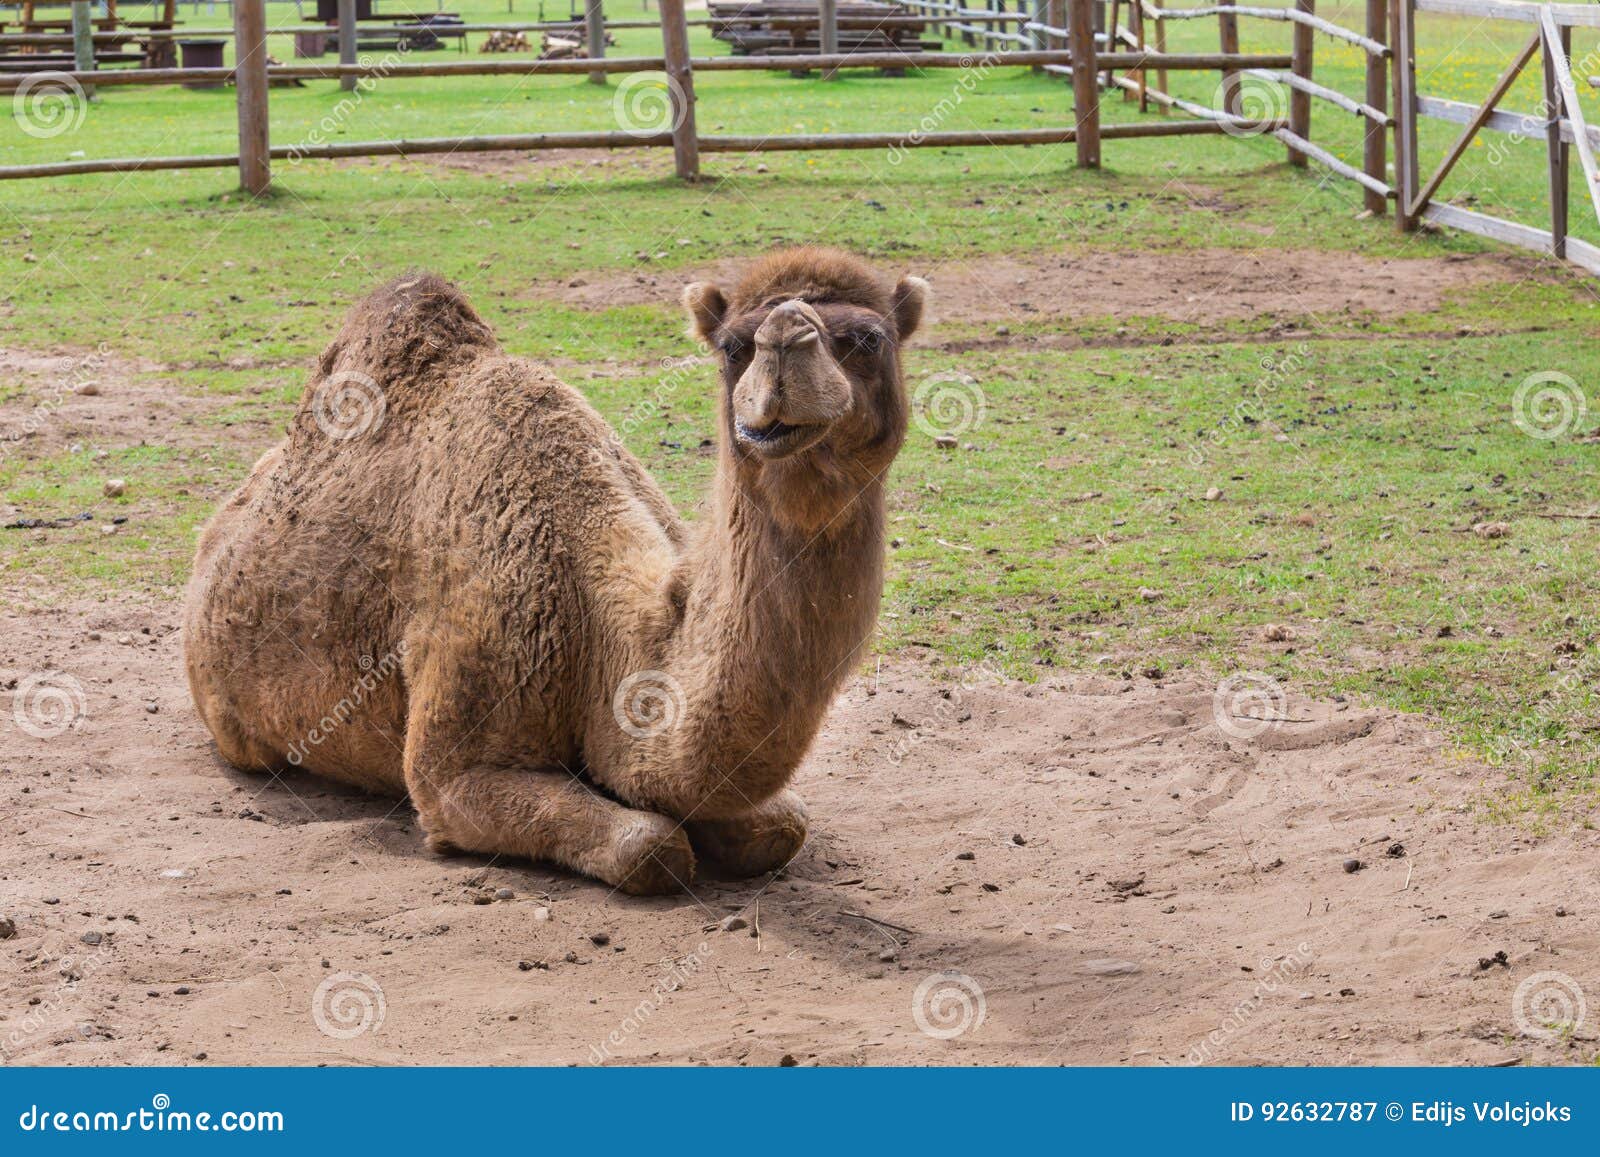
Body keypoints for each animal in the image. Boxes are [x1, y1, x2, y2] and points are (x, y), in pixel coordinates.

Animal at [183, 248, 928, 895]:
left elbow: (781, 824)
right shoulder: (452, 770)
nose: (782, 348)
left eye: (870, 338)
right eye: (732, 346)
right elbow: (648, 845)